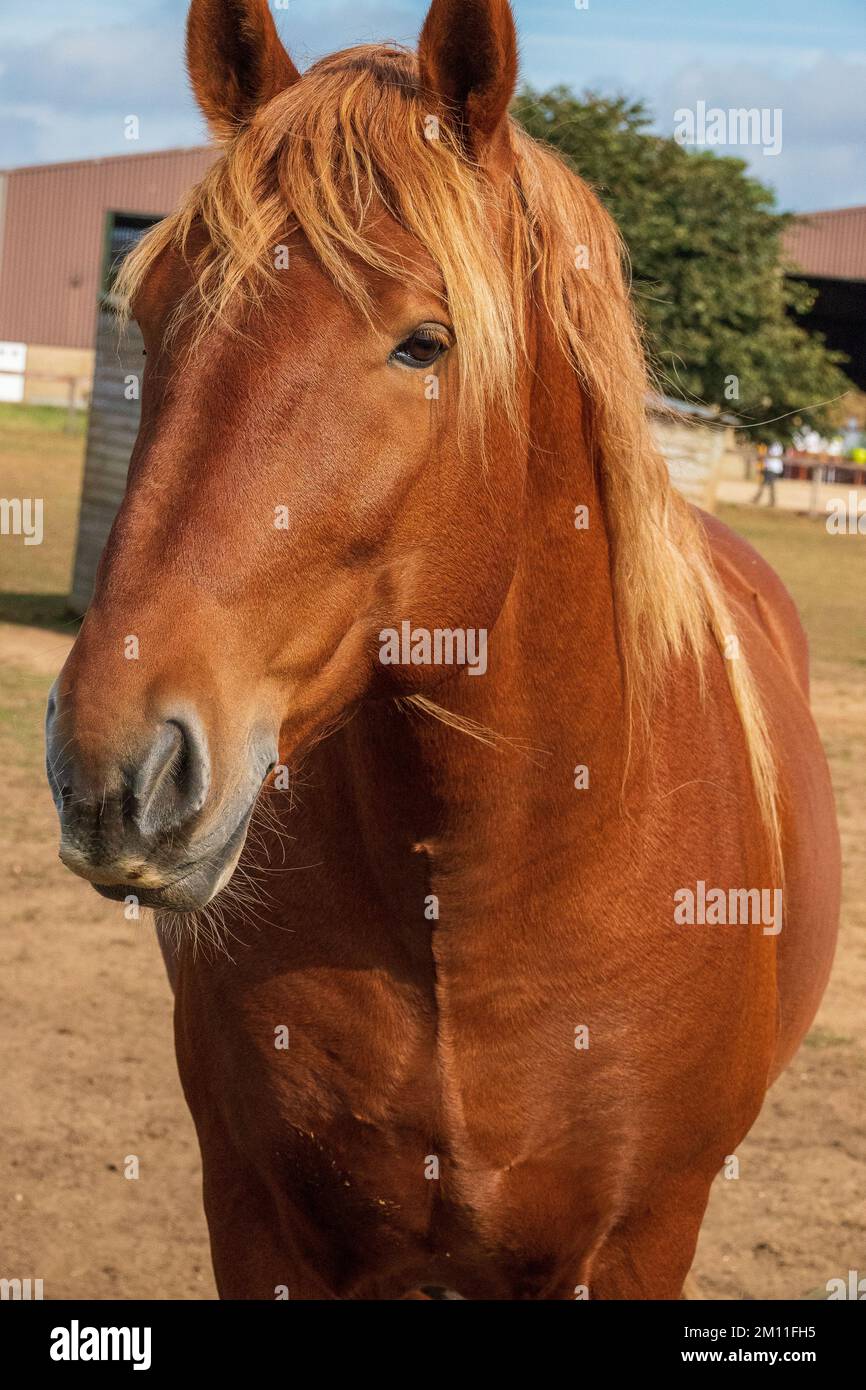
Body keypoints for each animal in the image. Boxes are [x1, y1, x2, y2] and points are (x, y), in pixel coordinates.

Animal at [46, 0, 839, 1300]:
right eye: (154, 314)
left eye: (424, 343)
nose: (113, 767)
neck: (484, 888)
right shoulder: (259, 1224)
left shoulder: (639, 1240)